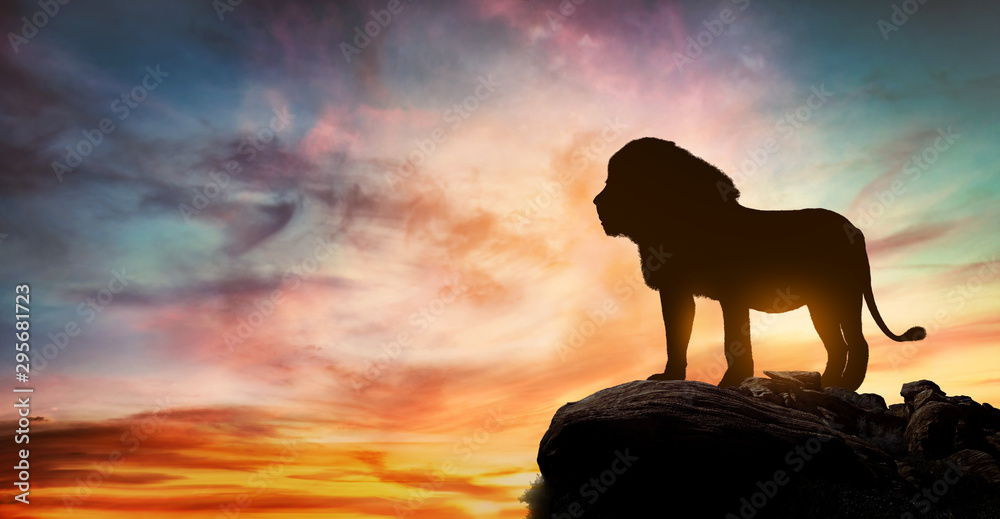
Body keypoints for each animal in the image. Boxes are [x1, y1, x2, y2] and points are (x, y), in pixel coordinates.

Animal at [594, 137, 925, 391]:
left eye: (617, 180)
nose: (597, 203)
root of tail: (855, 229)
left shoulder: (732, 294)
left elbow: (733, 341)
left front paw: (731, 382)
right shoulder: (675, 291)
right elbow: (675, 337)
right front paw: (670, 377)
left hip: (844, 293)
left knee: (858, 344)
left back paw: (844, 386)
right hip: (821, 303)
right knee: (838, 346)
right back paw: (825, 384)